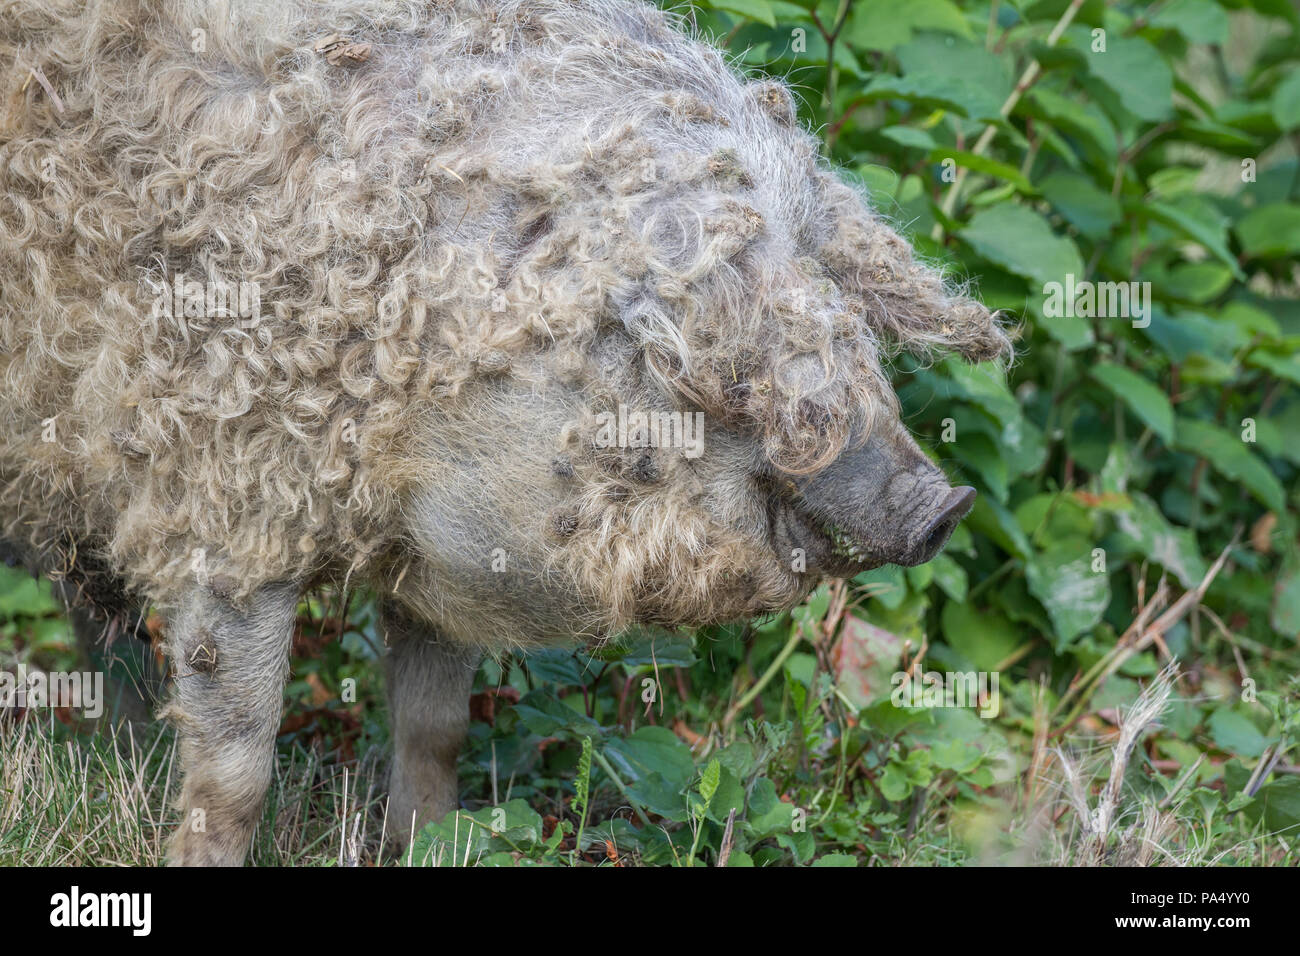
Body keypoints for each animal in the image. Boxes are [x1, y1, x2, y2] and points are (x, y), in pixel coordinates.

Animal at [0, 0, 1010, 864]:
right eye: (680, 352)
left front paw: (429, 843)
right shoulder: (227, 492)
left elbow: (436, 728)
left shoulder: (439, 549)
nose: (944, 502)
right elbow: (236, 756)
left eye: (825, 292)